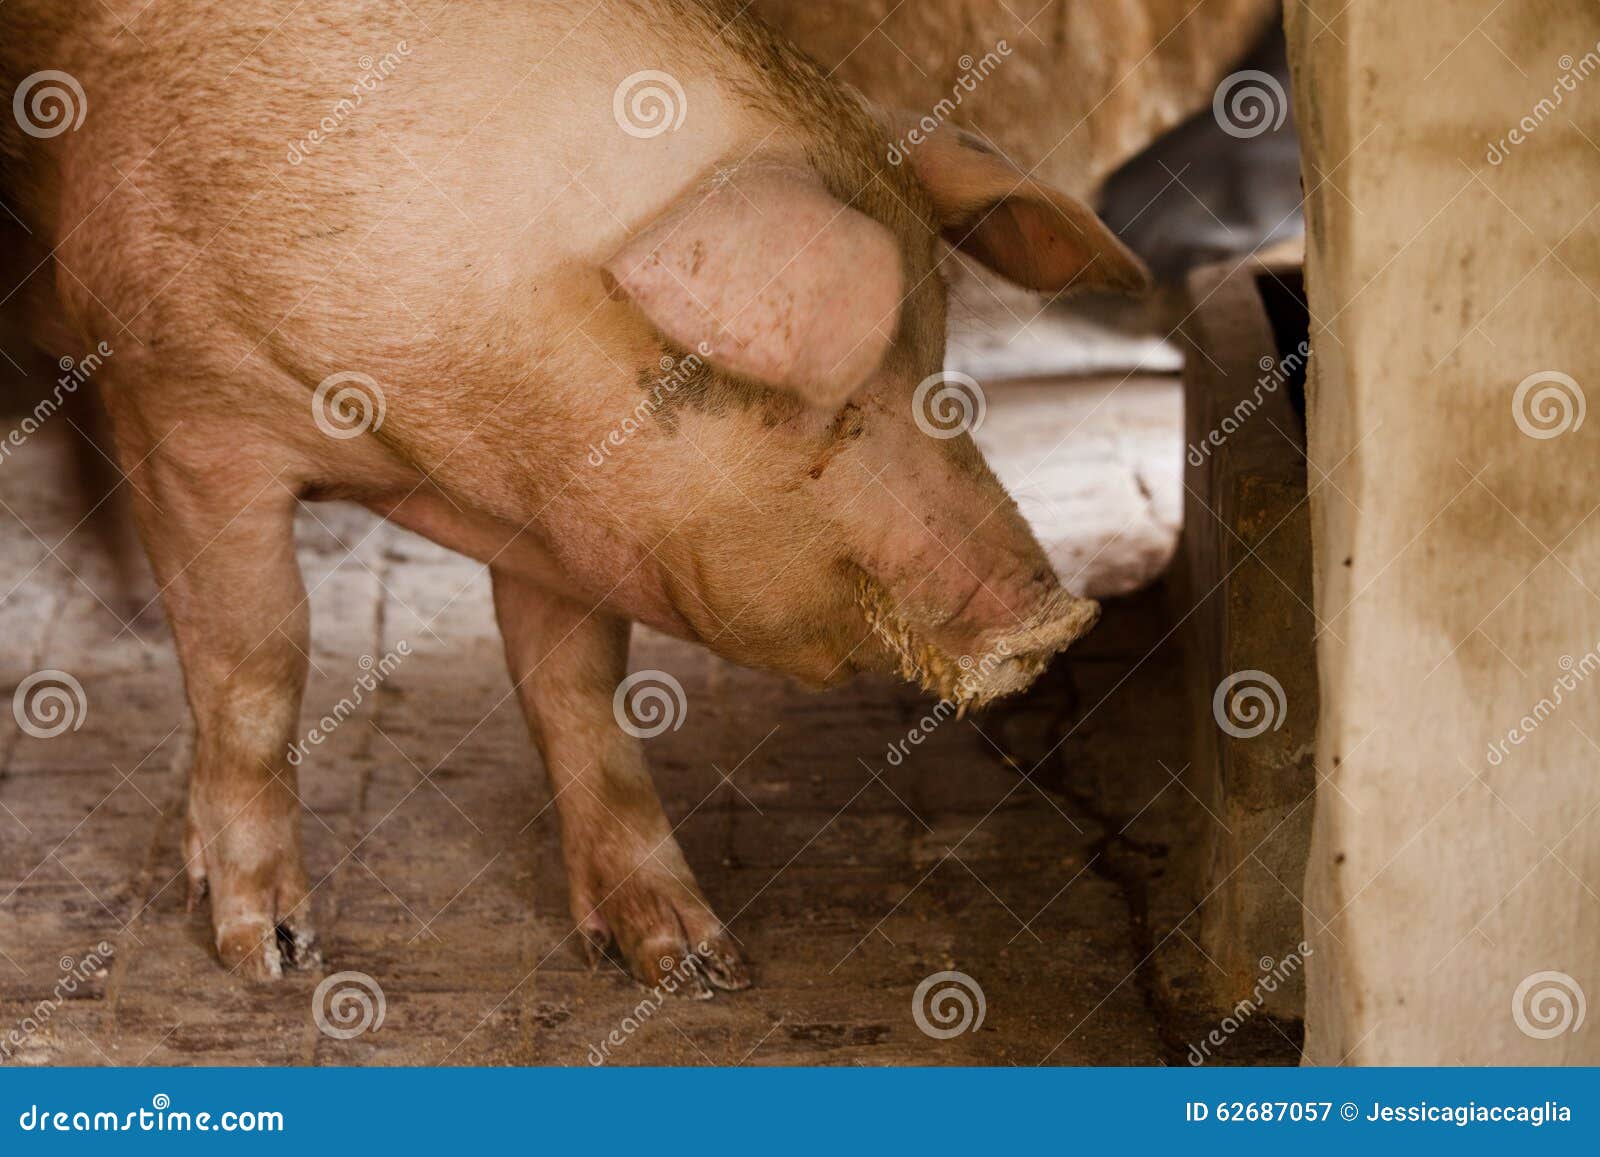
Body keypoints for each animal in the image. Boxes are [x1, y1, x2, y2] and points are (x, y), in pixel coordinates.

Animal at [0, 0, 1147, 991]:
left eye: (936, 354)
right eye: (824, 390)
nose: (1058, 614)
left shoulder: (566, 503)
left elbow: (578, 689)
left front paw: (694, 966)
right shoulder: (189, 406)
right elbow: (258, 661)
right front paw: (272, 955)